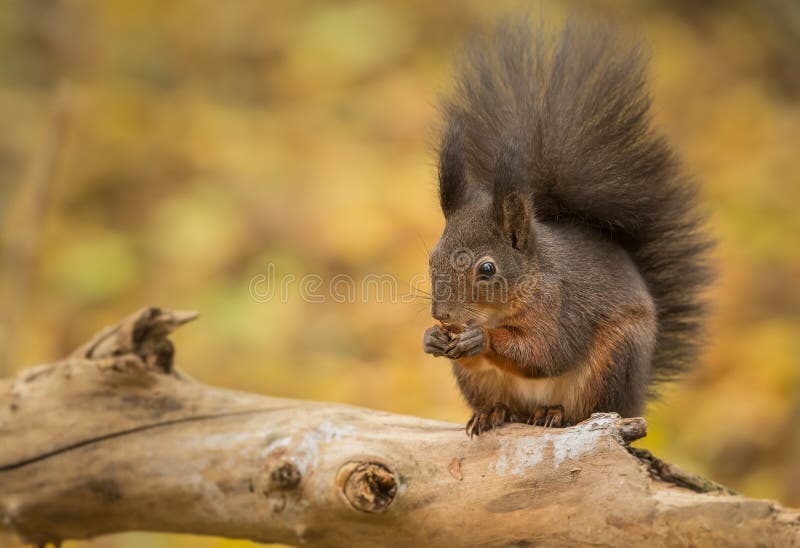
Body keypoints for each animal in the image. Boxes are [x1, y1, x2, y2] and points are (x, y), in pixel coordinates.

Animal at [422, 18, 713, 437]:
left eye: (488, 269)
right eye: (432, 258)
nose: (442, 314)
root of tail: (636, 397)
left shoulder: (563, 307)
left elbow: (545, 352)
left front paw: (483, 338)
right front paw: (432, 339)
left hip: (613, 361)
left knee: (586, 412)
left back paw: (555, 413)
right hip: (481, 385)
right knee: (504, 405)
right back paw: (493, 413)